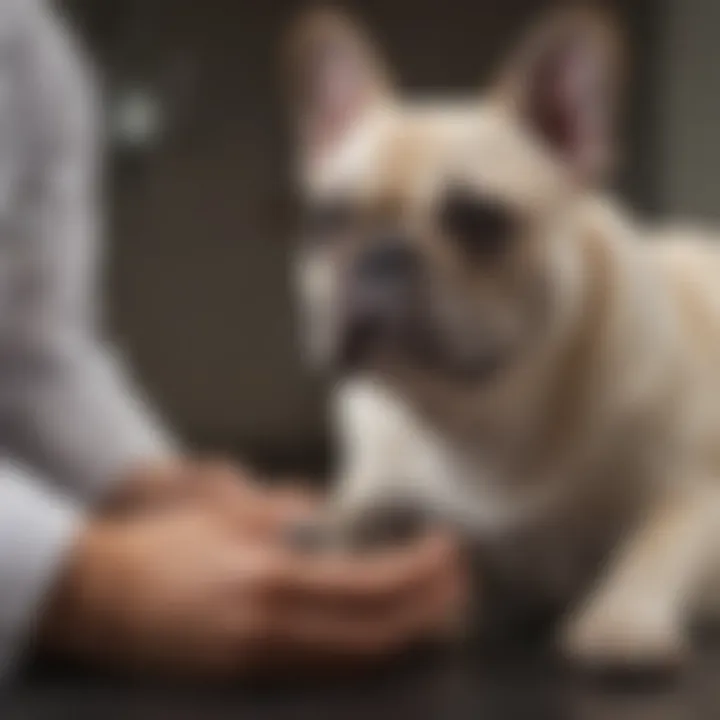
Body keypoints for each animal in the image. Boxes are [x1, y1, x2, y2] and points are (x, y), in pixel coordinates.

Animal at [284, 5, 720, 672]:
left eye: (477, 219)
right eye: (326, 220)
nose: (381, 255)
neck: (480, 418)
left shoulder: (695, 493)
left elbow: (656, 548)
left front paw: (620, 621)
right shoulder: (387, 486)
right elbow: (369, 511)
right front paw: (329, 537)